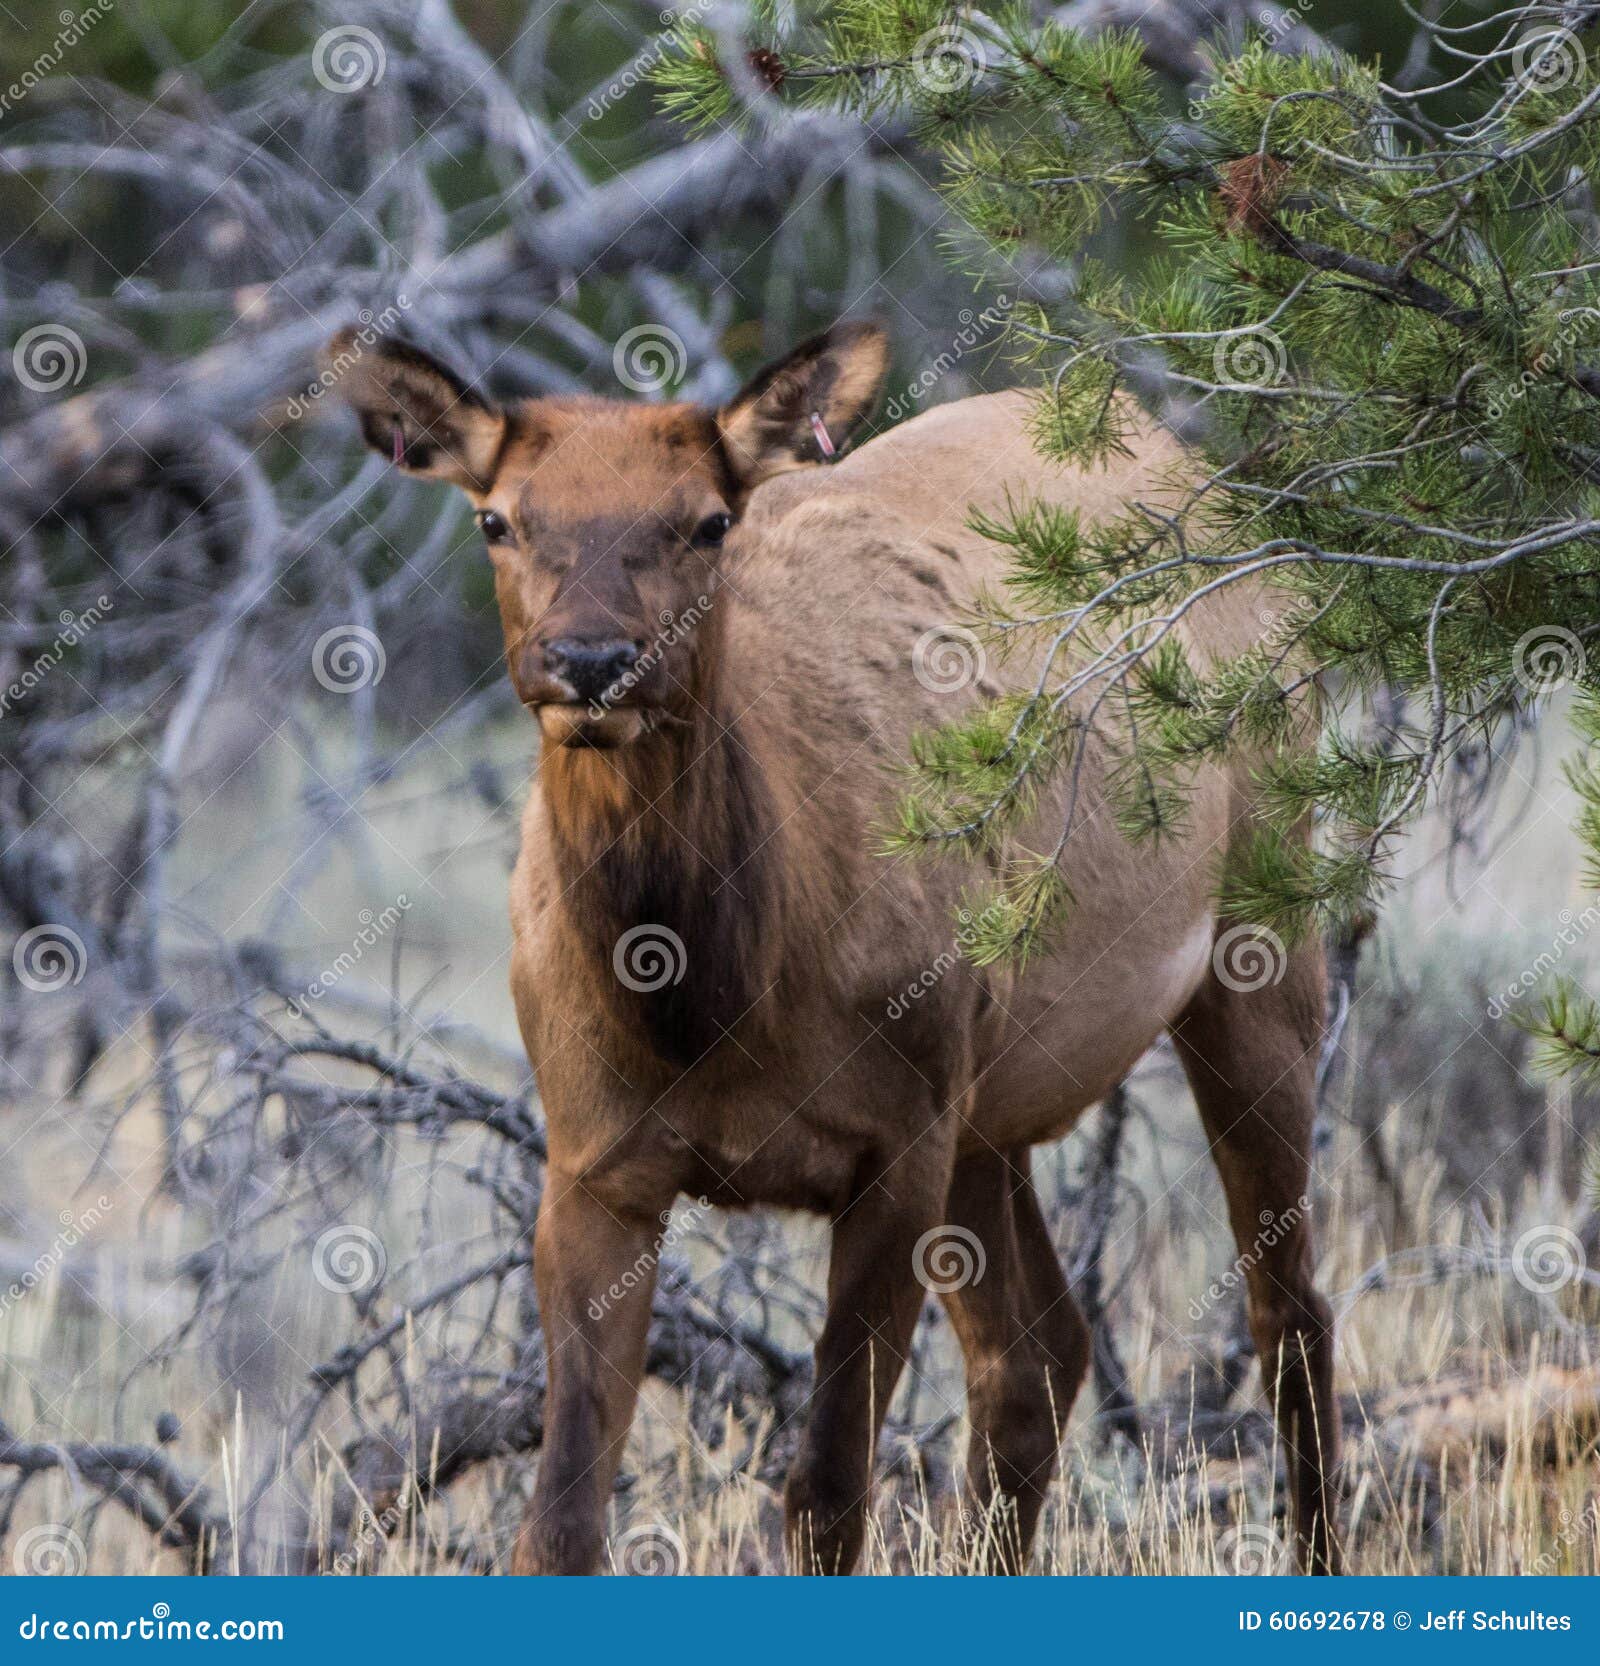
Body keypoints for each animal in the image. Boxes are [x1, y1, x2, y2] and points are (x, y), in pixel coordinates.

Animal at [322, 318, 1340, 1576]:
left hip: (1256, 928)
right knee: (1039, 1353)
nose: (591, 659)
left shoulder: (892, 1142)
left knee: (1286, 1308)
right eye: (496, 518)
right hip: (986, 1098)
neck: (713, 999)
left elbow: (827, 1495)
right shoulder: (589, 1161)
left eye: (708, 519)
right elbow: (557, 1520)